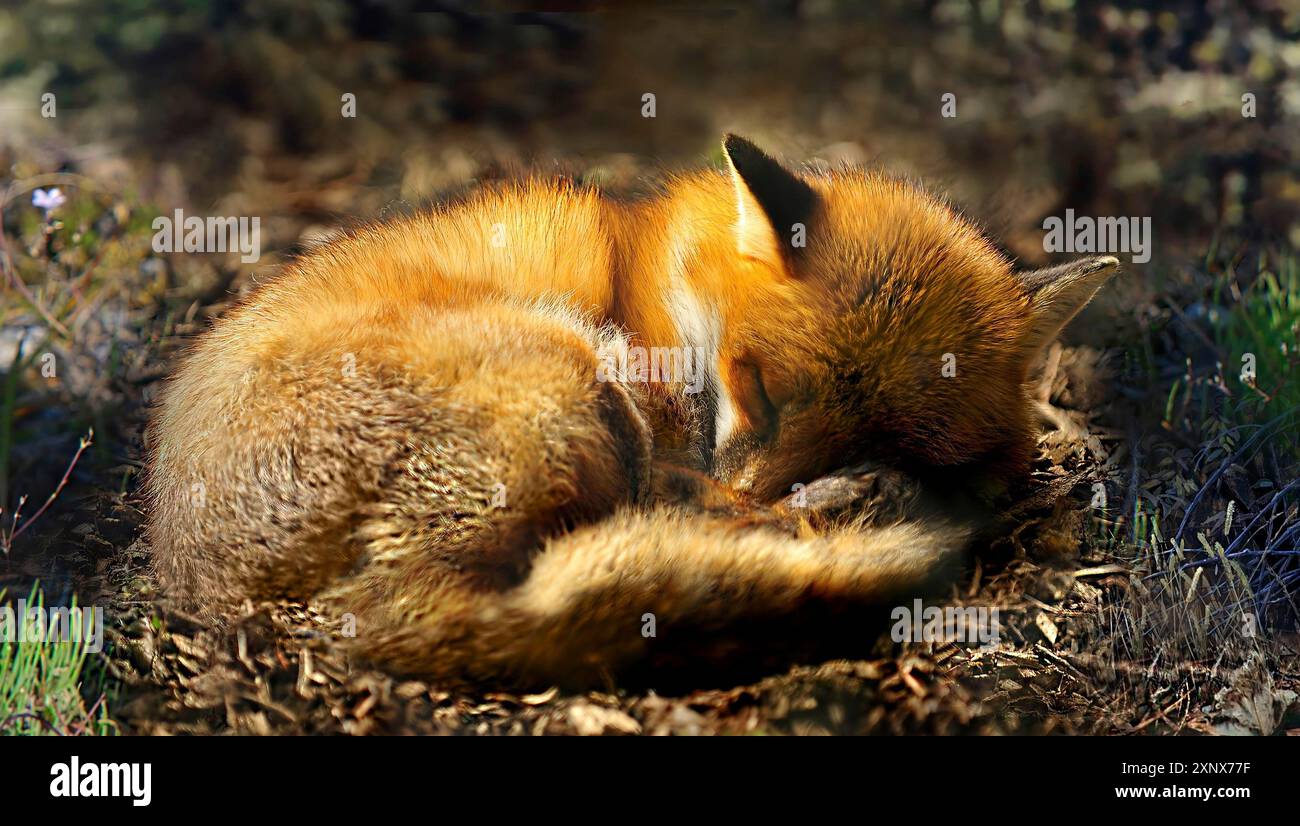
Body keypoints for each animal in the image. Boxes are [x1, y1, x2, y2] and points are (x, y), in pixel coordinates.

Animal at [144, 134, 1118, 687]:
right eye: (758, 387)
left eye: (891, 431)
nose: (771, 492)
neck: (659, 285)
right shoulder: (660, 411)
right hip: (570, 375)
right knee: (647, 516)